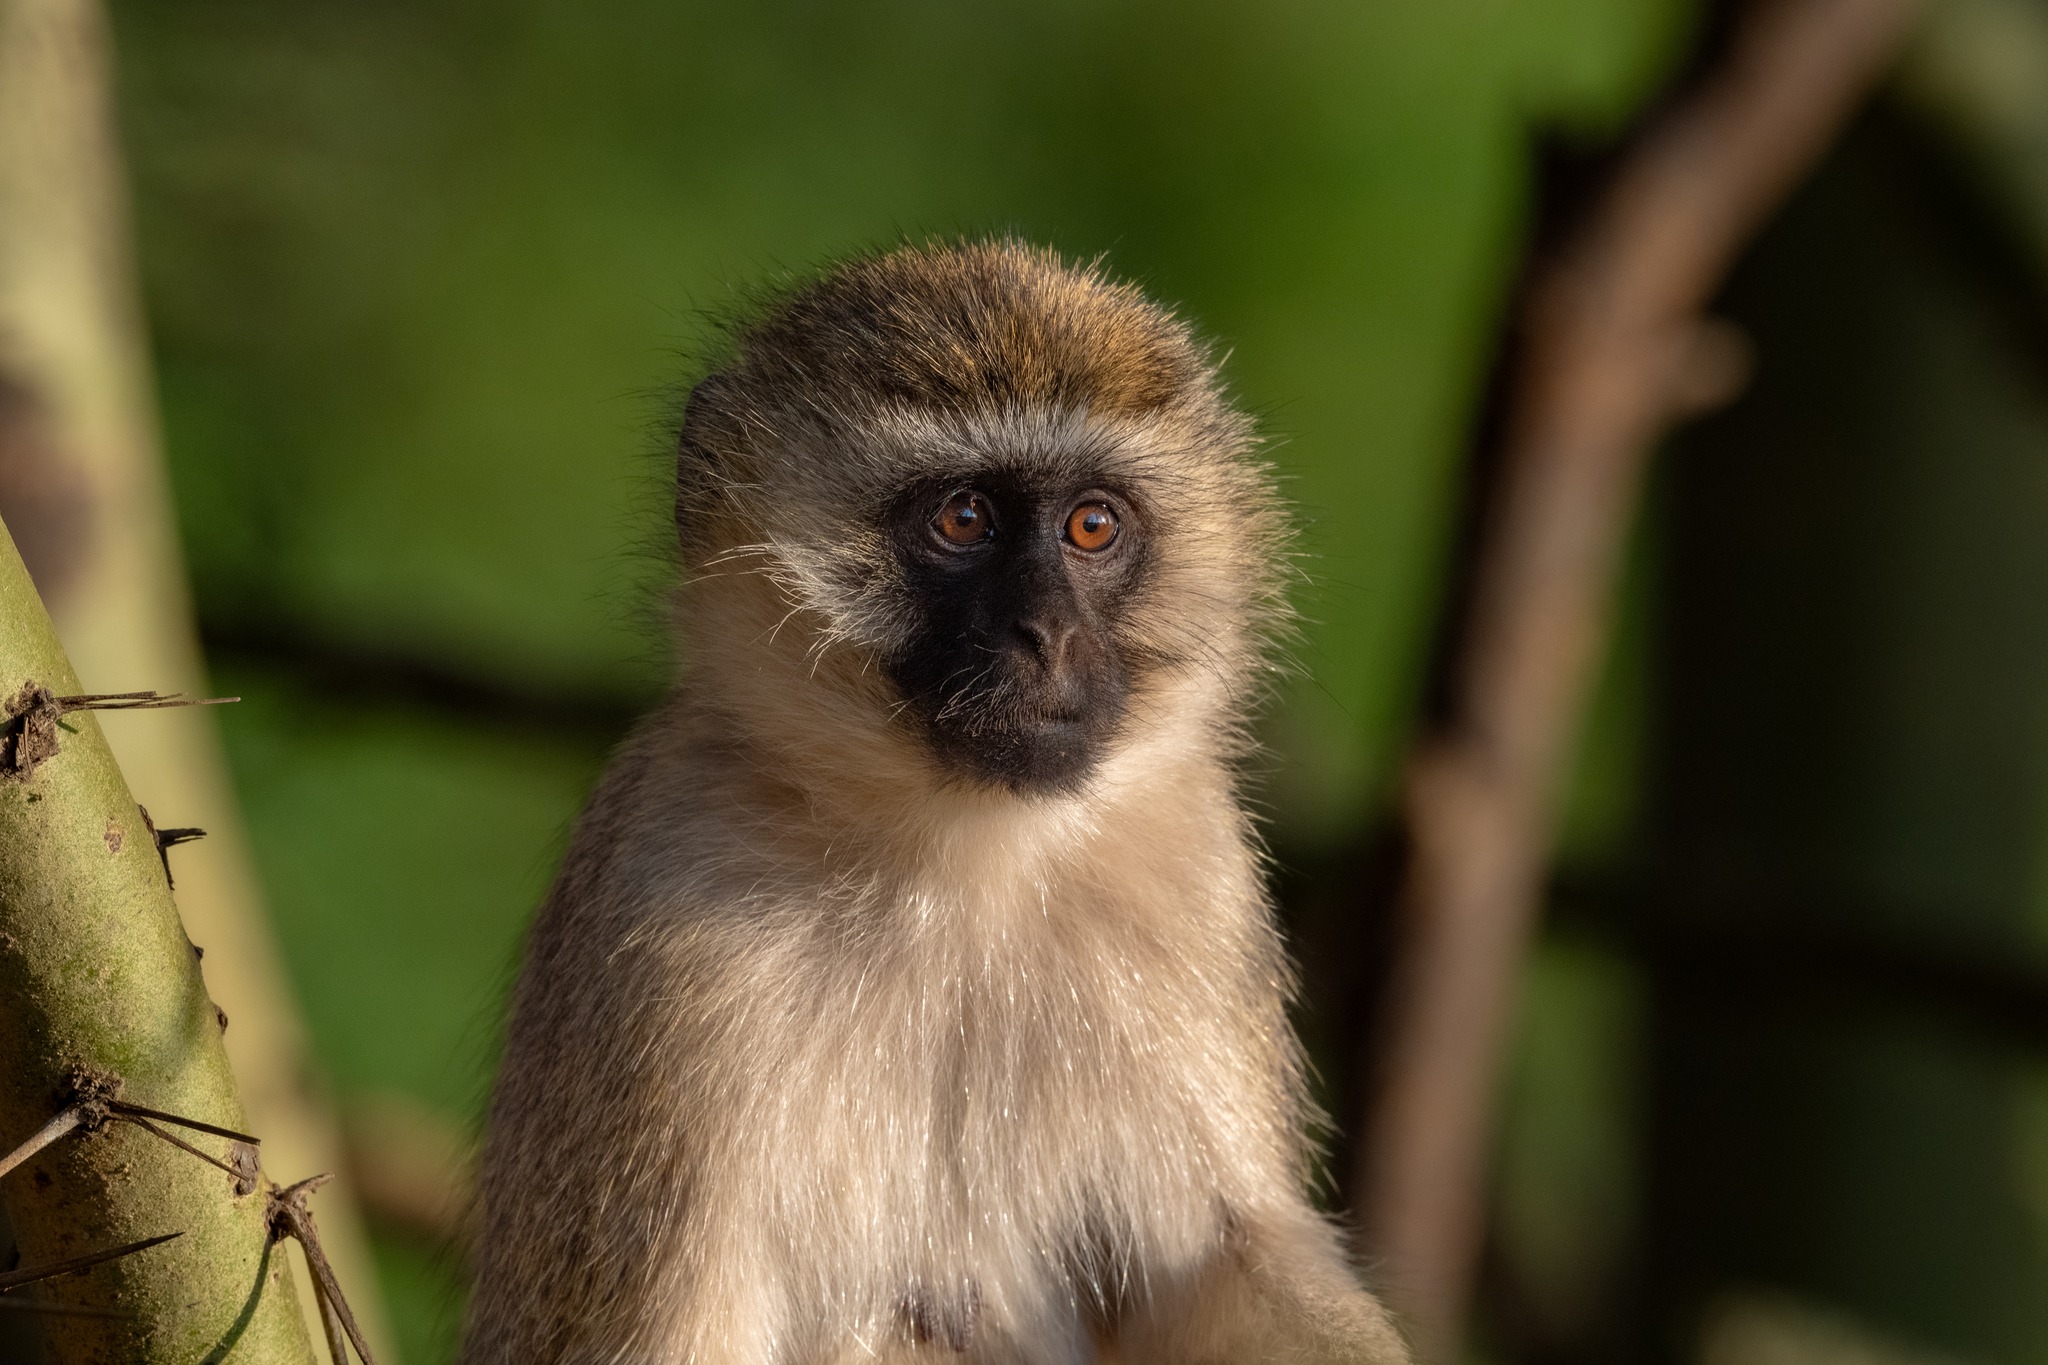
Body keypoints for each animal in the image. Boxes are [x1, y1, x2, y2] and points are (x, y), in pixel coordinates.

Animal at [462, 240, 1411, 1365]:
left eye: (1092, 526)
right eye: (964, 519)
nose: (1048, 632)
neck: (965, 861)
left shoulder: (1198, 874)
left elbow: (1223, 1261)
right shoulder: (669, 924)